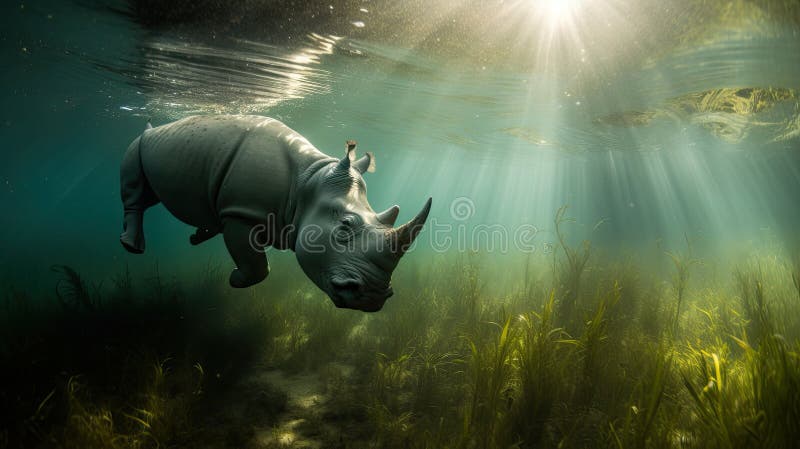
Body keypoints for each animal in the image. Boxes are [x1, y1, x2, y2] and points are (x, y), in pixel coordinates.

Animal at [119, 115, 431, 312]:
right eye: (345, 225)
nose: (373, 299)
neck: (309, 182)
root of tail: (155, 128)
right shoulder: (242, 211)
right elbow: (258, 267)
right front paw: (235, 280)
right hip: (139, 144)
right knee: (137, 191)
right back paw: (132, 247)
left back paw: (198, 236)